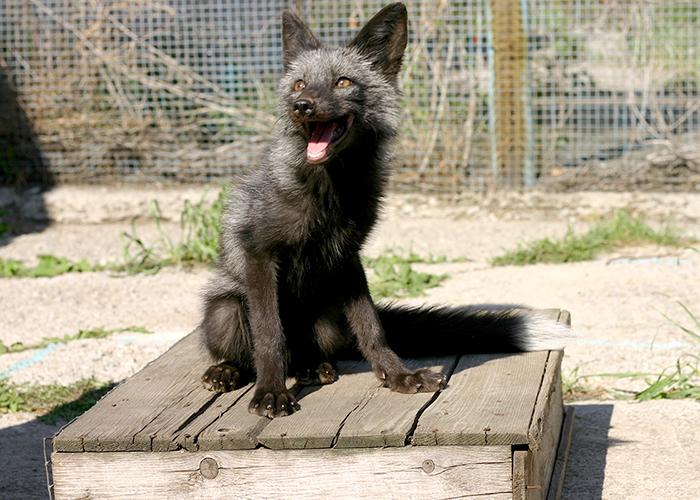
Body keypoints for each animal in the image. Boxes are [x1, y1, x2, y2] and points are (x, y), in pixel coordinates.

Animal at [199, 2, 569, 418]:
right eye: (298, 85)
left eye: (343, 82)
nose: (301, 106)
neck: (331, 190)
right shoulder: (259, 251)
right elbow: (268, 334)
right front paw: (271, 392)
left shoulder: (348, 256)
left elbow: (373, 328)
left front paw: (398, 376)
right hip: (227, 310)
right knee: (247, 350)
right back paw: (227, 372)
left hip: (328, 318)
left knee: (316, 351)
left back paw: (313, 366)